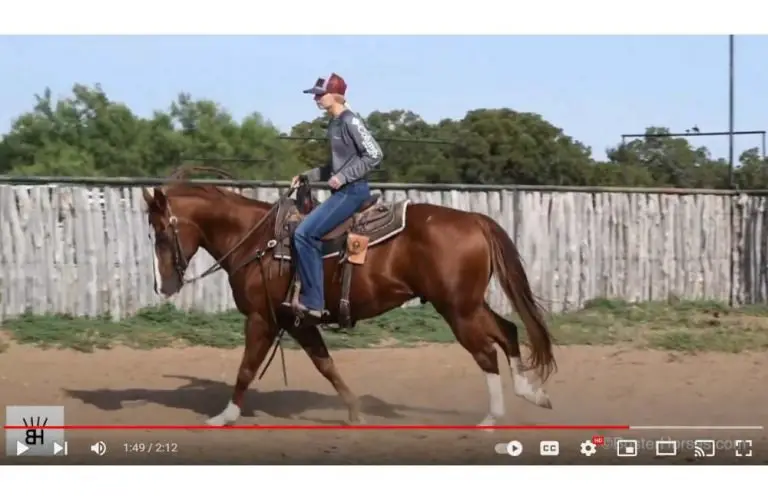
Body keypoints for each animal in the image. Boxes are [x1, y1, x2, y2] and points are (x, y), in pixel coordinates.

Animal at [142, 167, 557, 428]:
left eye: (160, 233)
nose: (163, 286)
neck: (259, 241)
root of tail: (475, 220)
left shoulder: (262, 319)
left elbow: (246, 368)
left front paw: (224, 416)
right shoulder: (297, 321)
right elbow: (326, 365)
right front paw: (356, 411)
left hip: (458, 310)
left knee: (486, 351)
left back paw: (492, 417)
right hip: (468, 304)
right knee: (508, 331)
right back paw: (532, 394)